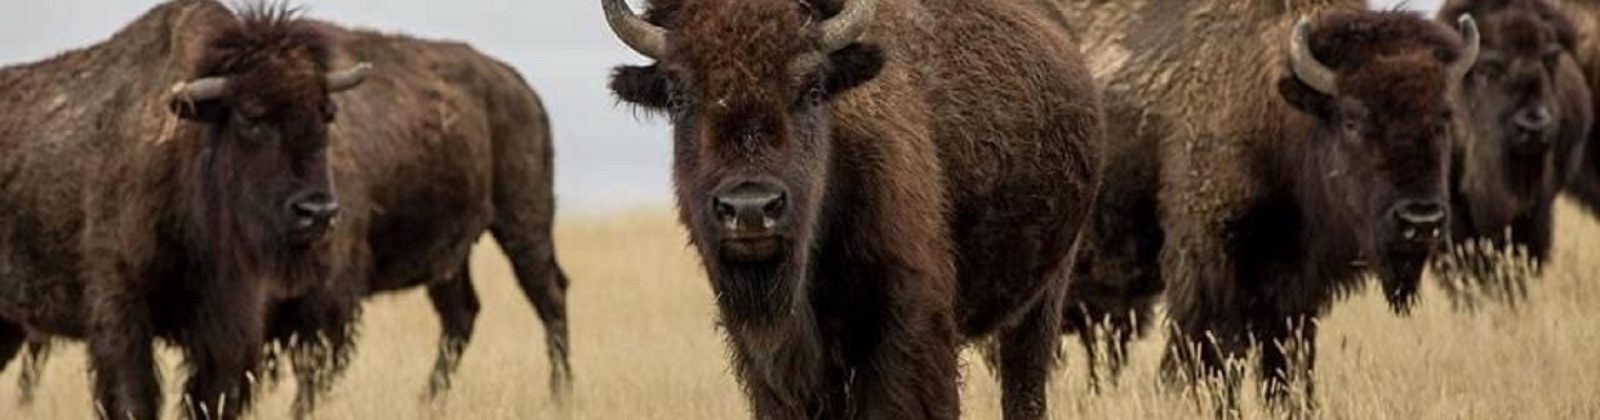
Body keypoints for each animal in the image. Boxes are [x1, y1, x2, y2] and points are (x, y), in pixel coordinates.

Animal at [604, 0, 1104, 418]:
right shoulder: (764, 352)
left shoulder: (905, 325)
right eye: (678, 96)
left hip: (1043, 299)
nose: (750, 208)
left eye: (811, 89)